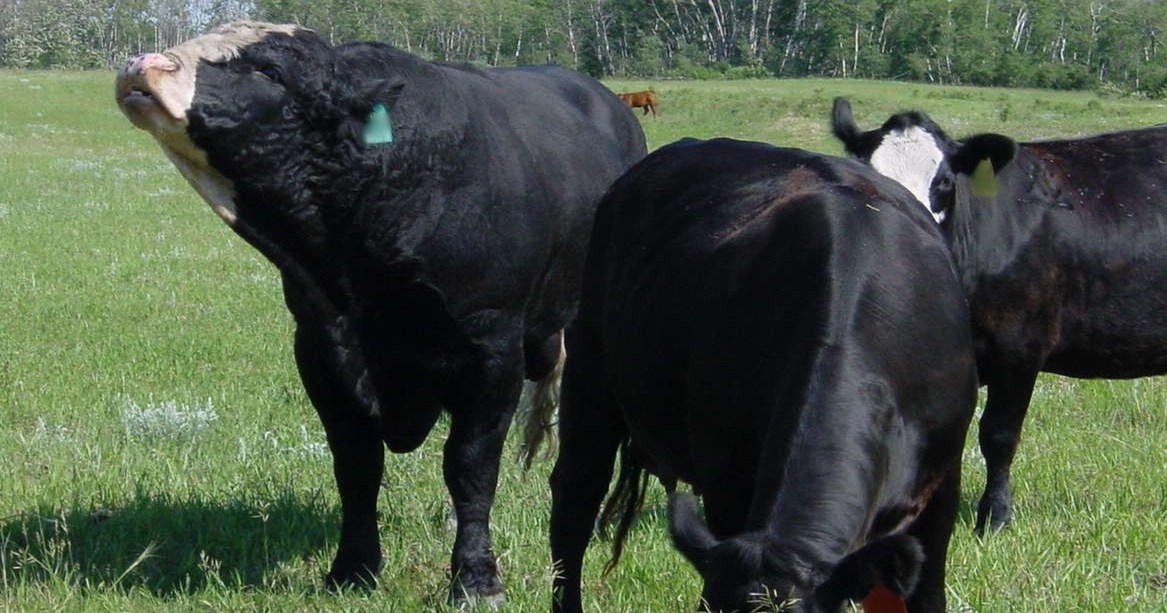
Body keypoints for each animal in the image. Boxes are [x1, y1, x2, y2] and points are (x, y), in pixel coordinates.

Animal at [114, 20, 646, 604]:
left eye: (271, 70)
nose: (143, 64)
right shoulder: (322, 345)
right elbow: (357, 465)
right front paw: (353, 567)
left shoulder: (492, 348)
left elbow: (470, 465)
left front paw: (475, 577)